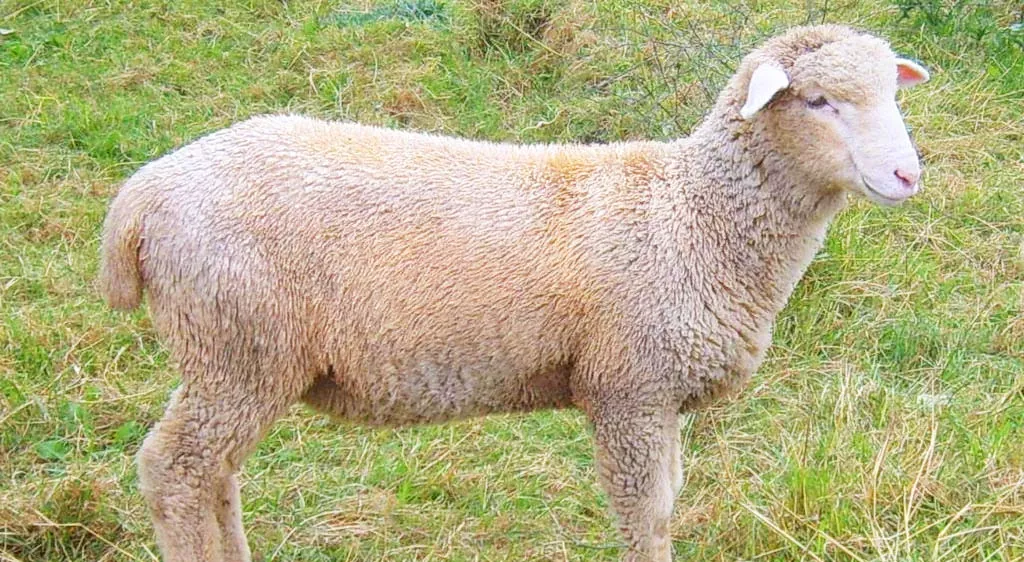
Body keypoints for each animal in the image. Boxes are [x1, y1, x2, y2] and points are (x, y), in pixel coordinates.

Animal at [100, 24, 930, 562]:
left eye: (893, 95)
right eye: (818, 101)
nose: (906, 175)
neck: (692, 213)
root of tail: (145, 194)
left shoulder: (655, 394)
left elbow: (663, 507)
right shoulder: (629, 388)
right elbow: (646, 516)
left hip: (230, 356)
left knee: (214, 474)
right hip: (239, 348)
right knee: (173, 471)